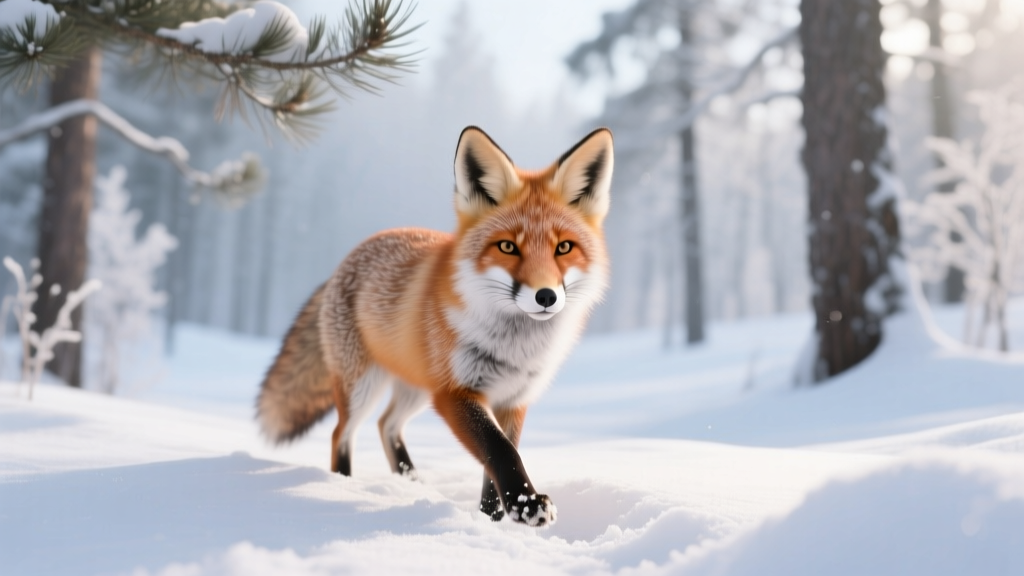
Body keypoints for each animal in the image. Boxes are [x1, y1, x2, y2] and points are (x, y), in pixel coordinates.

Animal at [256, 126, 613, 527]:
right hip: (363, 386)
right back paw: (342, 485)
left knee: (386, 425)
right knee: (341, 433)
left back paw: (411, 483)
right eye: (508, 247)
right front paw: (525, 505)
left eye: (563, 248)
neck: (515, 348)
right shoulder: (454, 391)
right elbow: (501, 451)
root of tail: (344, 262)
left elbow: (496, 463)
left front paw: (492, 519)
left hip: (414, 388)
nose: (546, 296)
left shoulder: (513, 399)